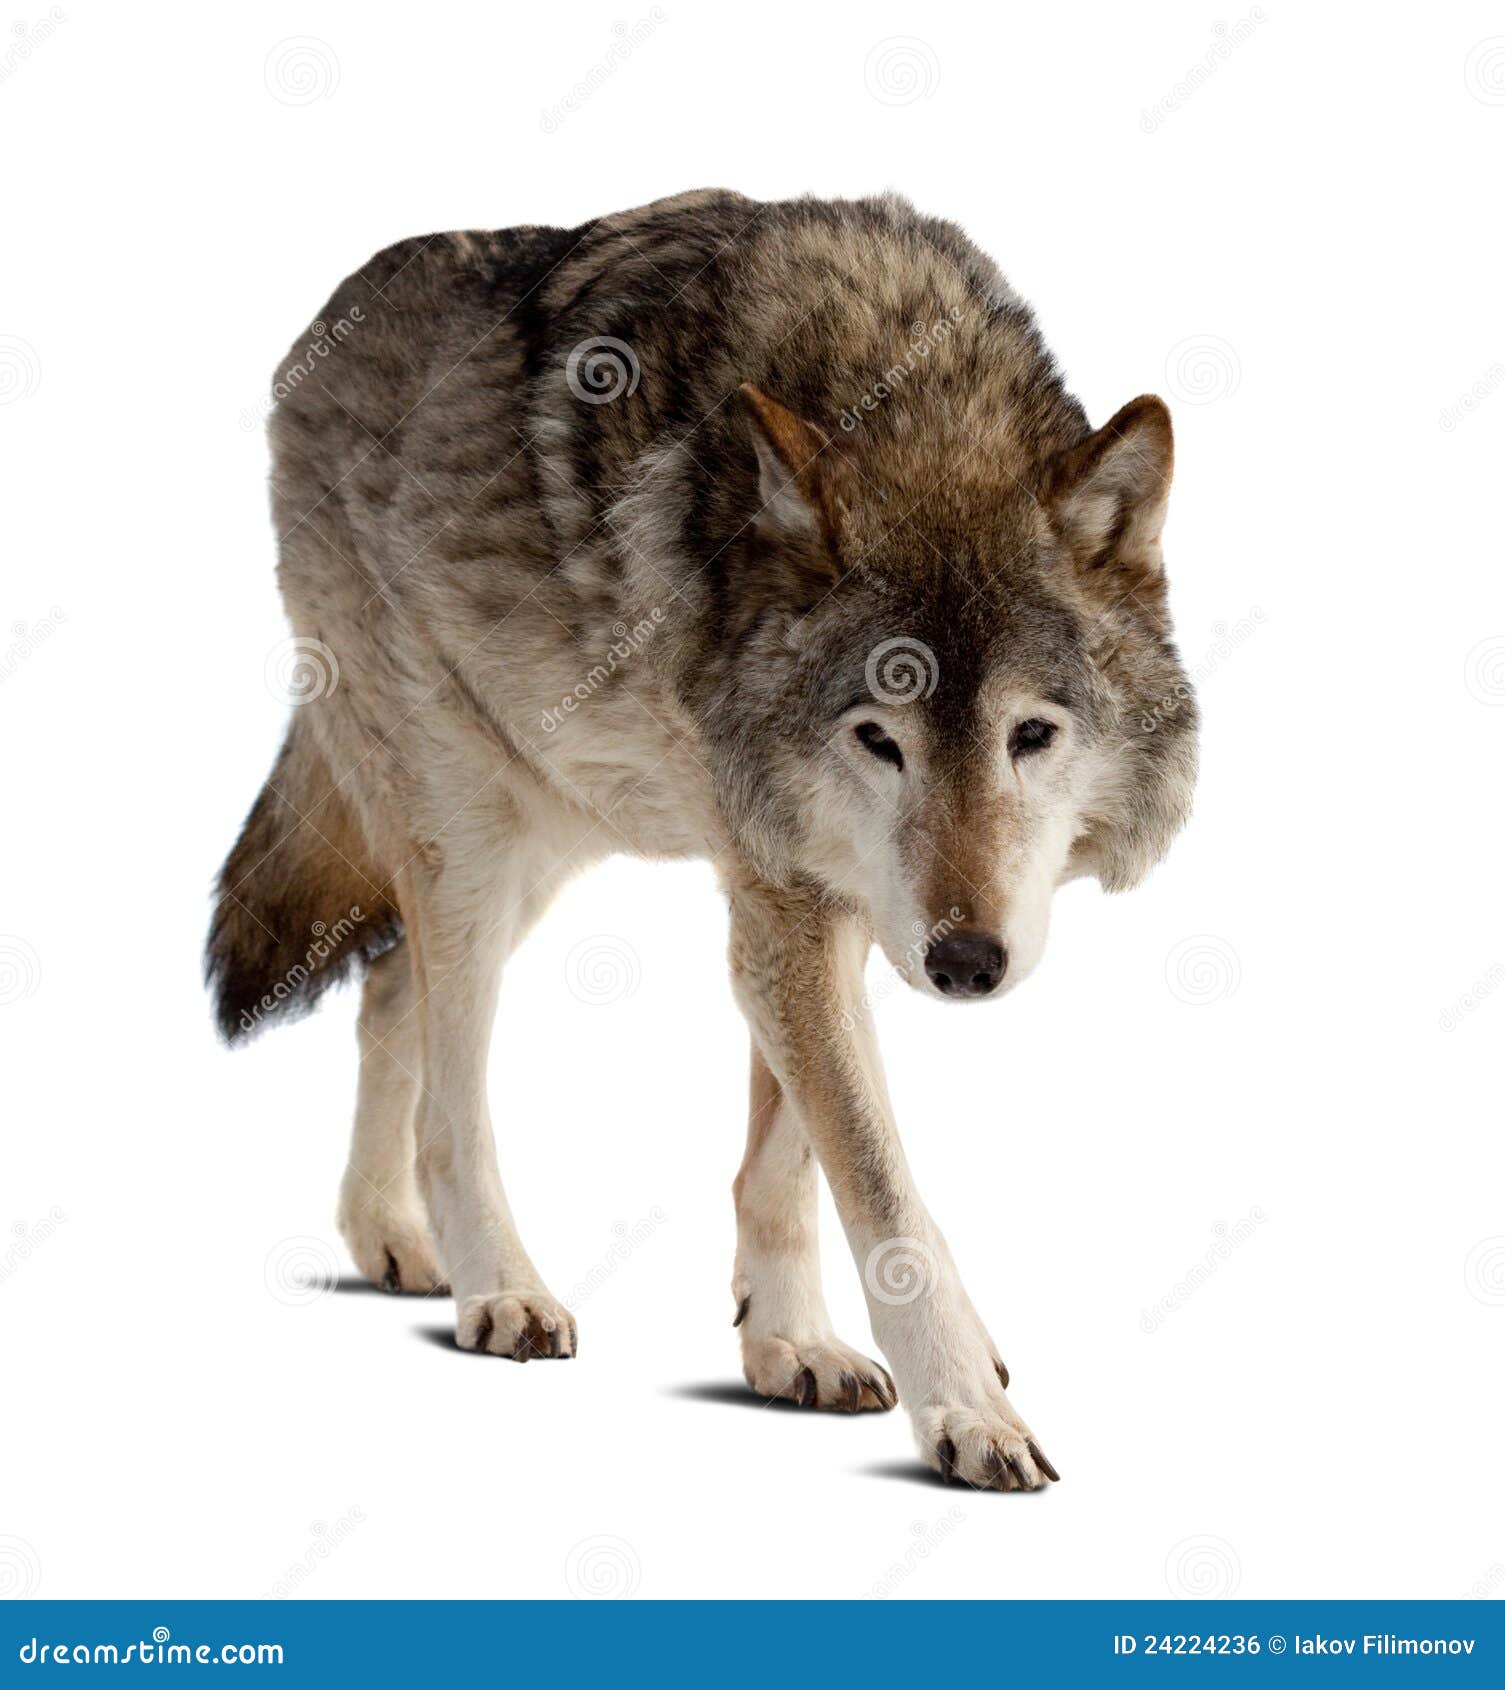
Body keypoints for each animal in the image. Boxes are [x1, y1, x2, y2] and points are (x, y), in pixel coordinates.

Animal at [207, 189, 1197, 1490]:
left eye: (1029, 734)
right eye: (878, 738)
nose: (963, 964)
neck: (909, 391)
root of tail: (323, 320)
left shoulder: (816, 902)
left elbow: (791, 1157)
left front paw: (790, 1344)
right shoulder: (786, 902)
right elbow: (875, 1176)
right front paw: (967, 1410)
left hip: (549, 828)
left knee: (383, 992)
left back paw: (394, 1242)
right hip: (464, 831)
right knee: (450, 1088)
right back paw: (497, 1288)